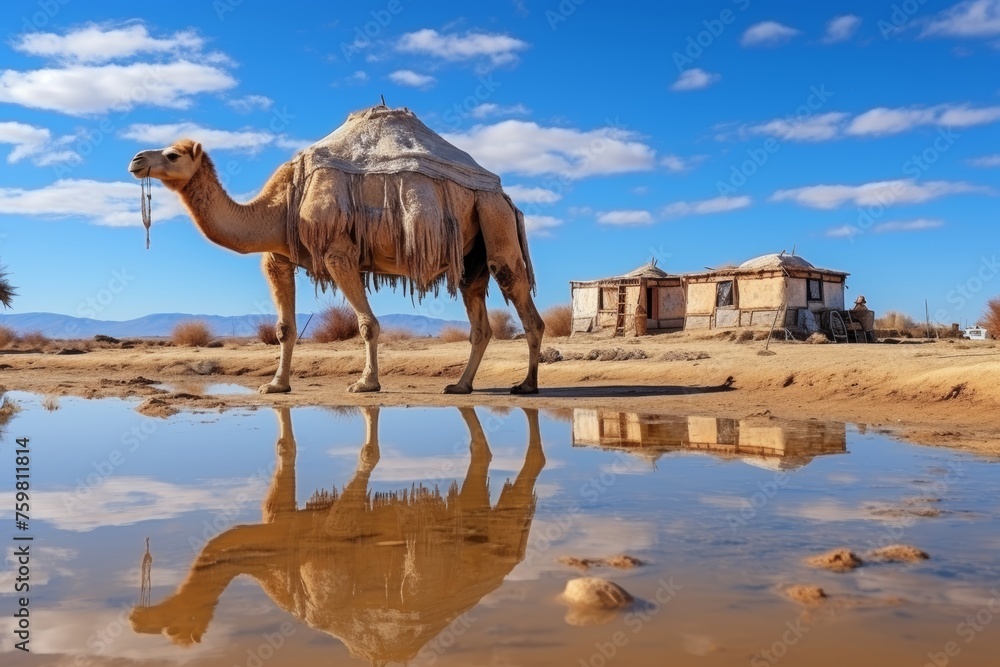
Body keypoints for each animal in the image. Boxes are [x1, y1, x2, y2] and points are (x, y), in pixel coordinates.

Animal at [127, 105, 544, 395]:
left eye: (173, 155)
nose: (136, 159)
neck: (279, 205)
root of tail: (505, 196)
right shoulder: (278, 257)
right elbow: (284, 328)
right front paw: (276, 385)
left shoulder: (337, 253)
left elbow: (367, 323)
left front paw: (366, 384)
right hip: (472, 256)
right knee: (478, 317)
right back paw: (461, 385)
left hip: (493, 216)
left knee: (518, 293)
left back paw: (526, 386)